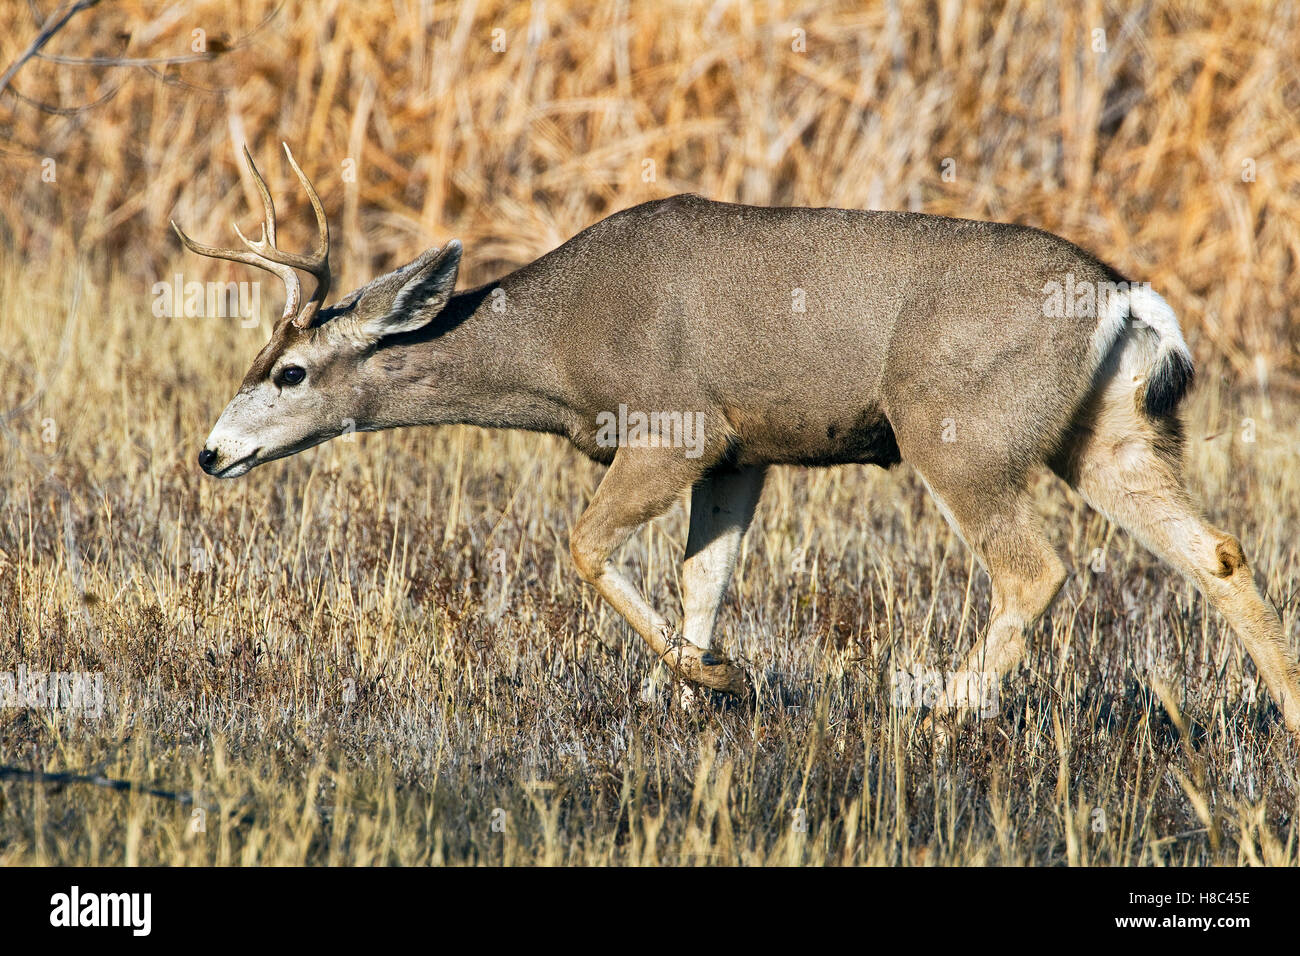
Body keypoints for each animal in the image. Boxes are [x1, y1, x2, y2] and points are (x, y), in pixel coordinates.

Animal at [176, 144, 1300, 738]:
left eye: (289, 372)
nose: (210, 454)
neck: (557, 347)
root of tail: (1122, 293)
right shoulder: (742, 454)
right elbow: (704, 578)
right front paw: (684, 686)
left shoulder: (678, 426)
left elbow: (585, 545)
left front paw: (718, 680)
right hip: (1105, 435)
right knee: (1217, 551)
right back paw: (1289, 715)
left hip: (958, 427)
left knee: (1035, 566)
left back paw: (937, 715)